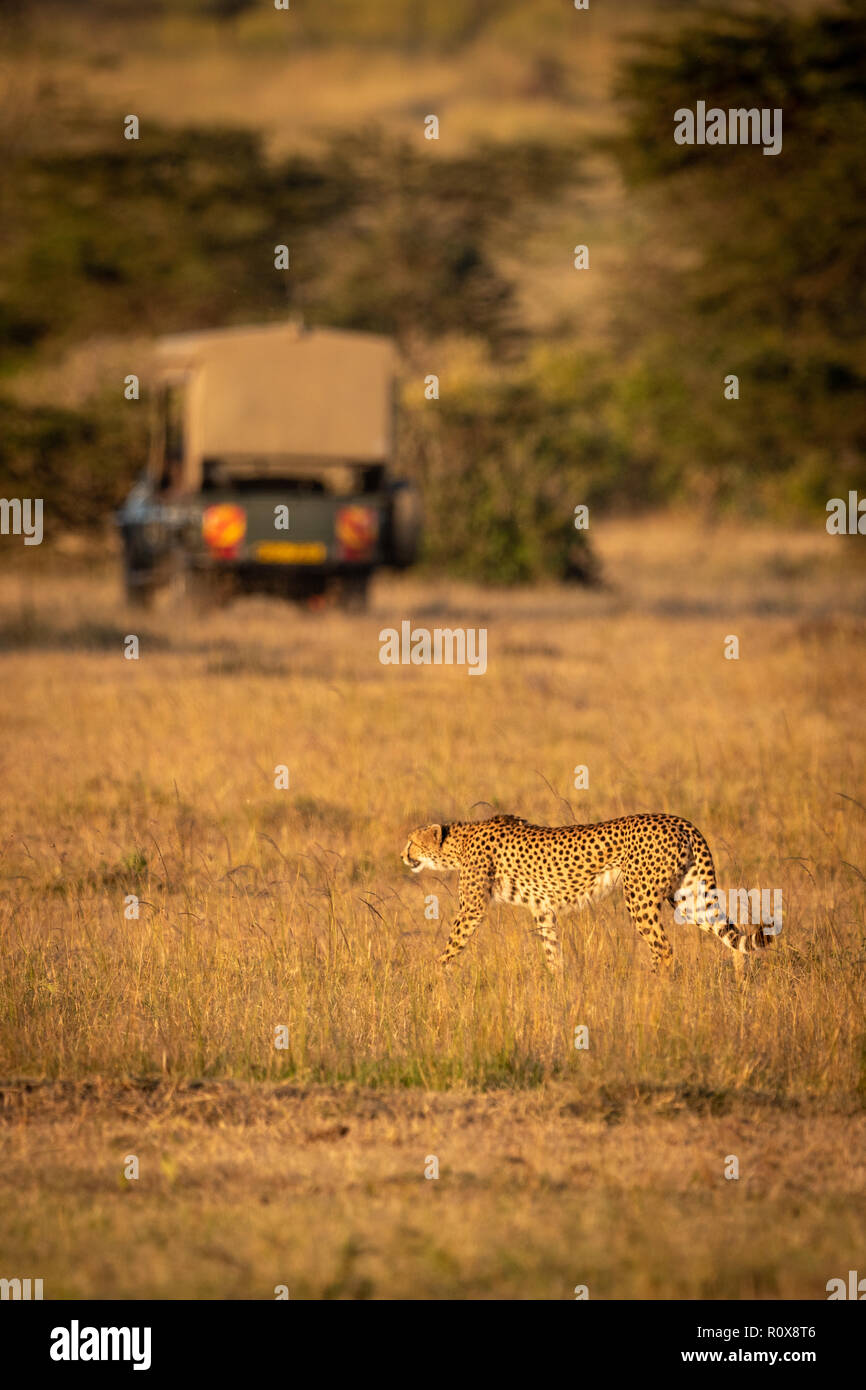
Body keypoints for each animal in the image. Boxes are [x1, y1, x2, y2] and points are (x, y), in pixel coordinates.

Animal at [401, 813, 775, 973]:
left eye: (411, 842)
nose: (402, 855)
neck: (459, 842)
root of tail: (680, 820)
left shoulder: (472, 908)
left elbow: (452, 944)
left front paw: (435, 977)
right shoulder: (543, 909)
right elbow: (552, 951)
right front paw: (557, 987)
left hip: (639, 897)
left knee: (665, 950)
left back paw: (656, 991)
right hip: (688, 898)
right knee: (732, 934)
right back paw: (740, 979)